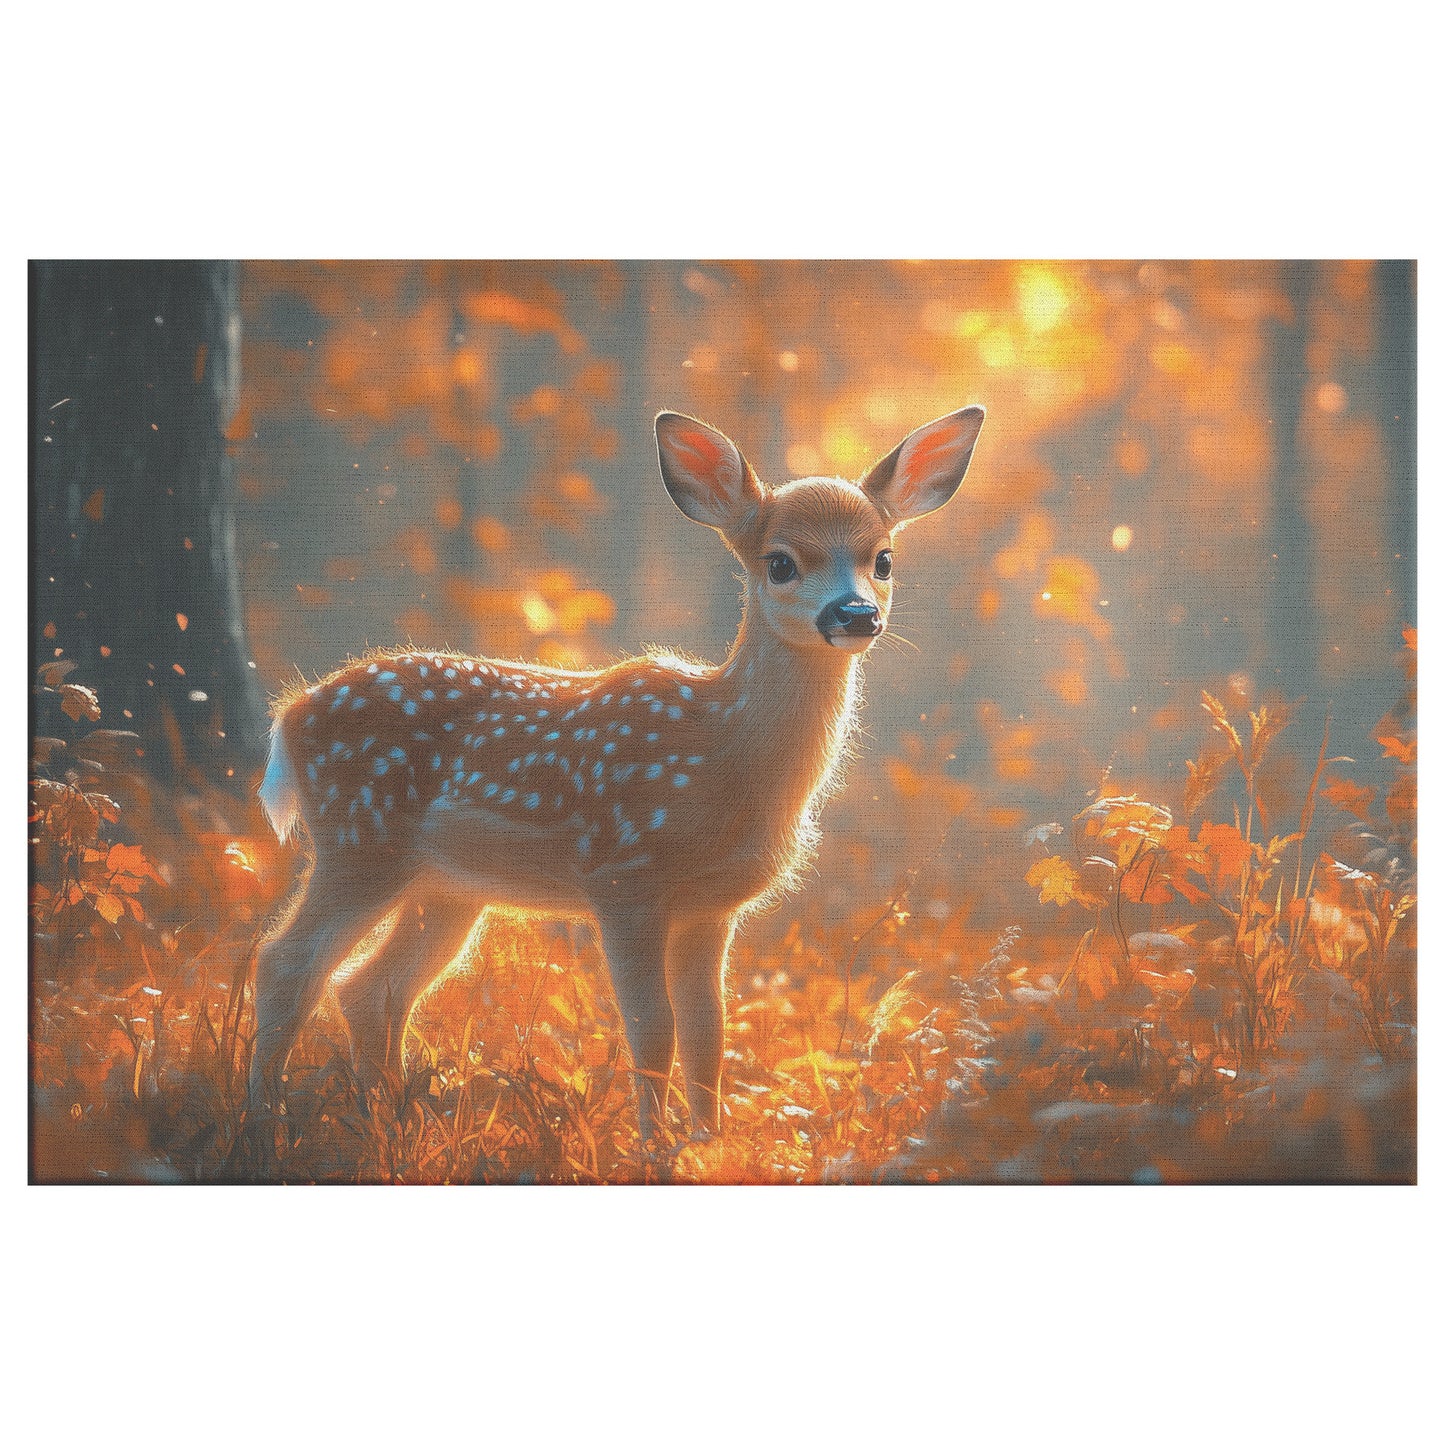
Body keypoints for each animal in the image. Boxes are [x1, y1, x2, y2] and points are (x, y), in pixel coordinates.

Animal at [251, 404, 985, 1139]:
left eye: (882, 558)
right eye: (780, 562)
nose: (855, 613)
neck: (726, 751)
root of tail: (289, 717)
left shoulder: (712, 906)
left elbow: (708, 1034)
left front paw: (707, 1144)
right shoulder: (623, 877)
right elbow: (652, 1028)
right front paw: (653, 1146)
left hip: (447, 884)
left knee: (371, 985)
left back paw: (392, 1121)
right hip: (360, 837)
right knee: (286, 962)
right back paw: (265, 1116)